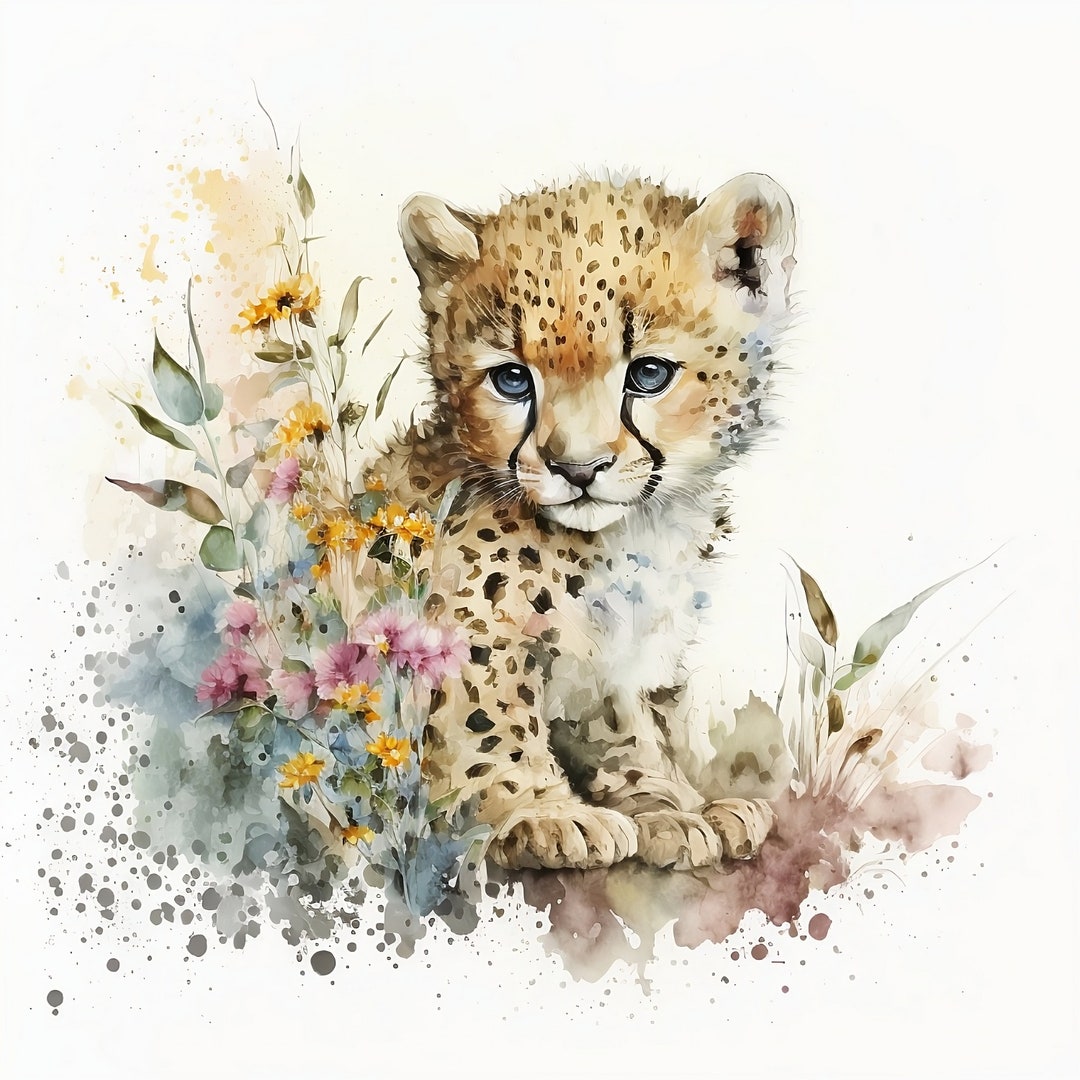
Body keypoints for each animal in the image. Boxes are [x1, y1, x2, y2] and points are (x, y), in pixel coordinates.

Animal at [372, 172, 797, 871]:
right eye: (512, 380)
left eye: (648, 373)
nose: (578, 467)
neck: (632, 535)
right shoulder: (463, 623)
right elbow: (488, 718)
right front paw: (538, 811)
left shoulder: (615, 661)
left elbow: (623, 728)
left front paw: (670, 806)